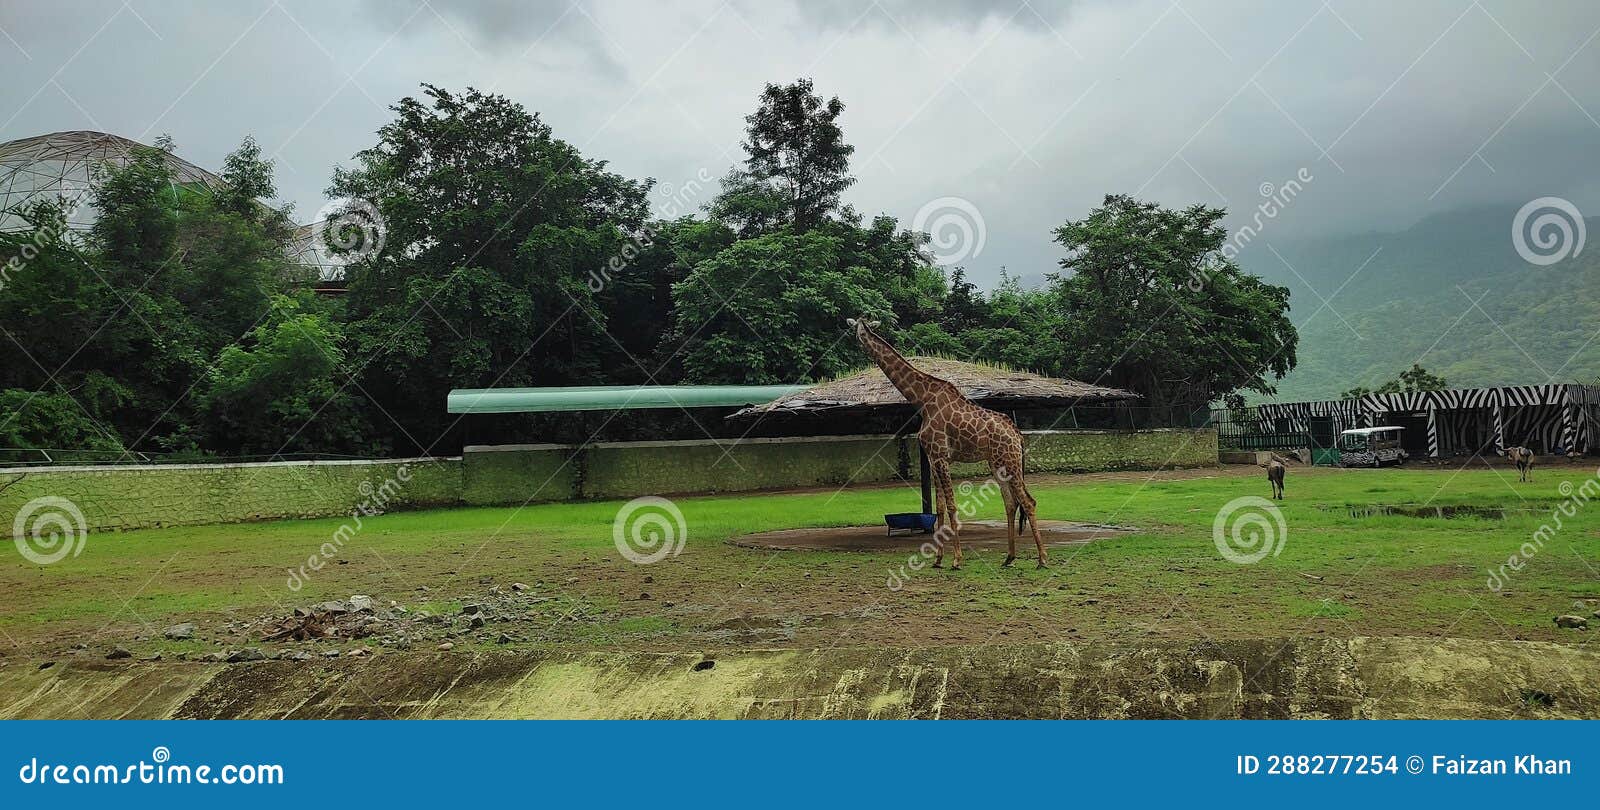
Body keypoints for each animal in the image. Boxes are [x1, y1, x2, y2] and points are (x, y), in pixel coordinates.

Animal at [848, 317, 1047, 569]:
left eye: (861, 332)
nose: (859, 343)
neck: (922, 401)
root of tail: (1018, 434)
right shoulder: (933, 457)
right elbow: (940, 508)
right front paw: (938, 559)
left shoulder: (941, 456)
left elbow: (952, 506)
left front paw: (957, 559)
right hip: (997, 463)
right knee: (1011, 503)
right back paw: (1009, 558)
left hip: (1010, 461)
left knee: (1028, 501)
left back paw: (1042, 559)